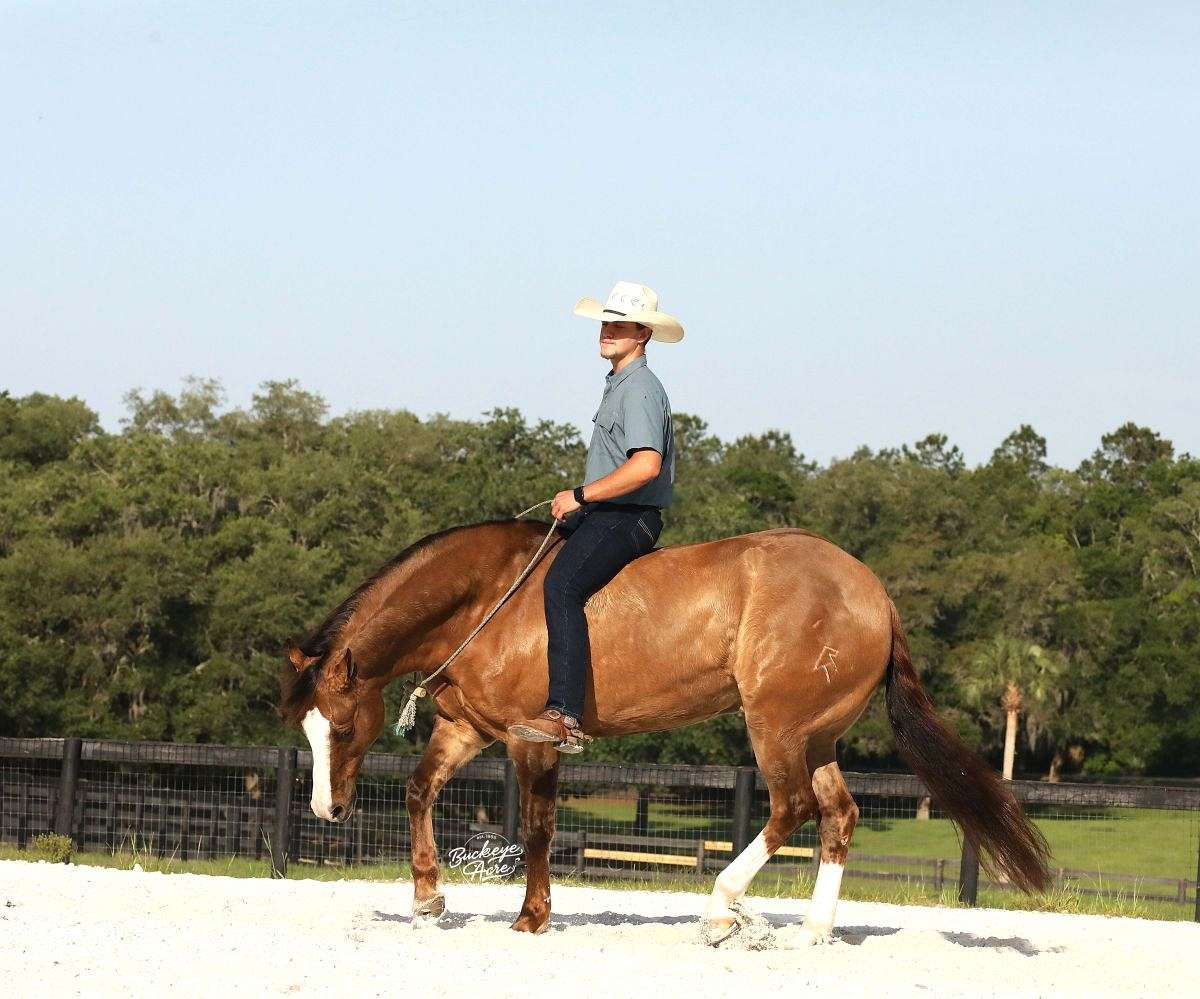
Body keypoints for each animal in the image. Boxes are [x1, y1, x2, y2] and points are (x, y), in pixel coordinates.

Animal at [279, 517, 1049, 945]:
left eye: (343, 726)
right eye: (306, 728)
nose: (326, 809)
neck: (488, 596)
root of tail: (874, 593)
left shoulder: (531, 740)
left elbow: (538, 828)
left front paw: (530, 917)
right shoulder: (468, 728)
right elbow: (417, 792)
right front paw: (427, 897)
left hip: (774, 724)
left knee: (792, 807)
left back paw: (721, 909)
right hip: (817, 735)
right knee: (839, 813)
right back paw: (815, 929)